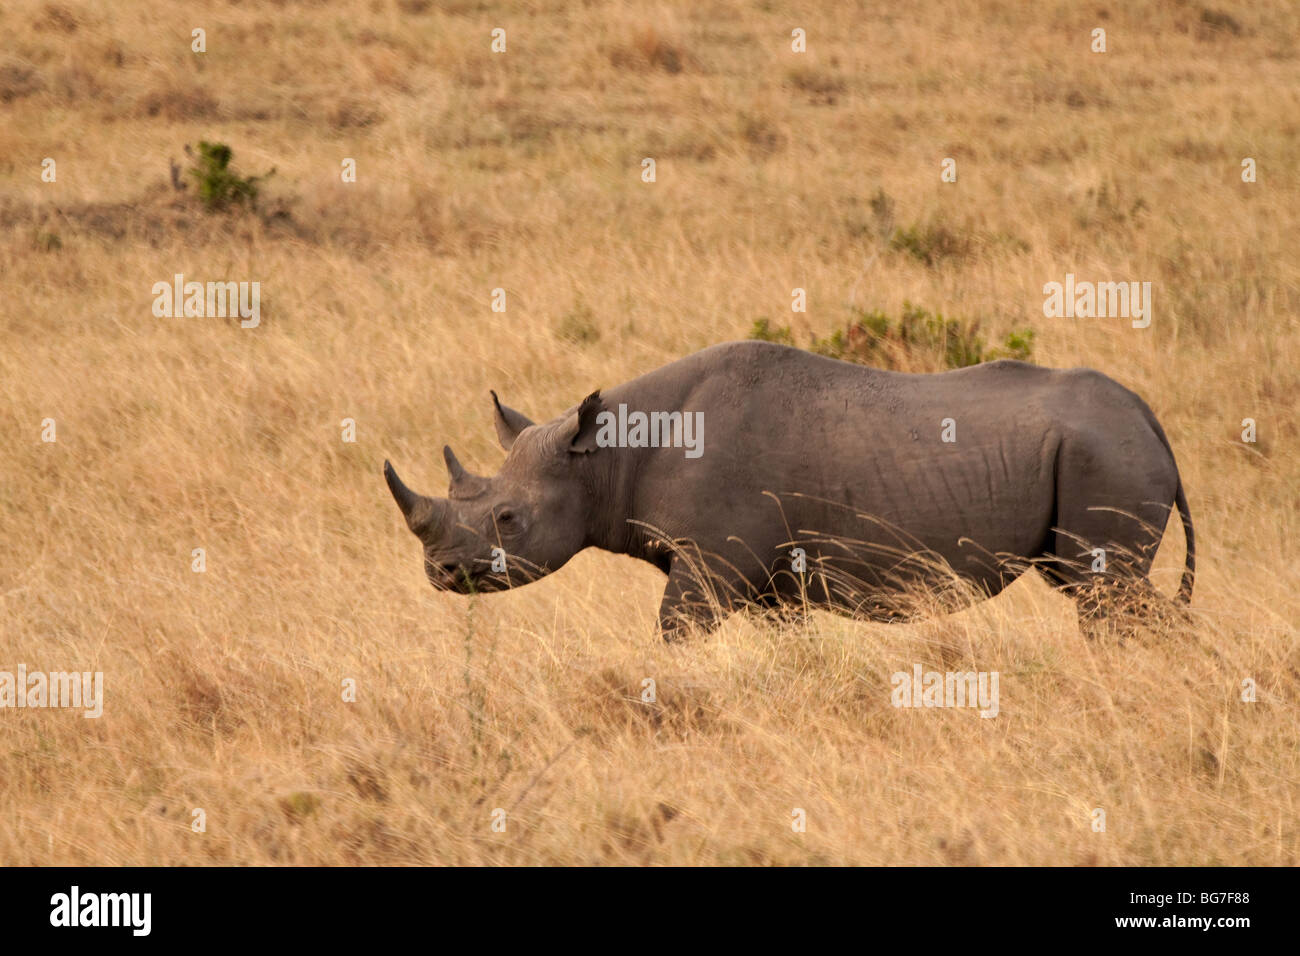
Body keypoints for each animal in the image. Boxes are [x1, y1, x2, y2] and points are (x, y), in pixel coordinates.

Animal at [384, 341, 1194, 638]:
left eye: (507, 519)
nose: (439, 573)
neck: (602, 460)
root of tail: (1151, 420)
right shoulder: (772, 579)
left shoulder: (712, 563)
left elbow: (674, 632)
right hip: (1099, 451)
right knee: (1098, 591)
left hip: (1103, 454)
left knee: (1105, 591)